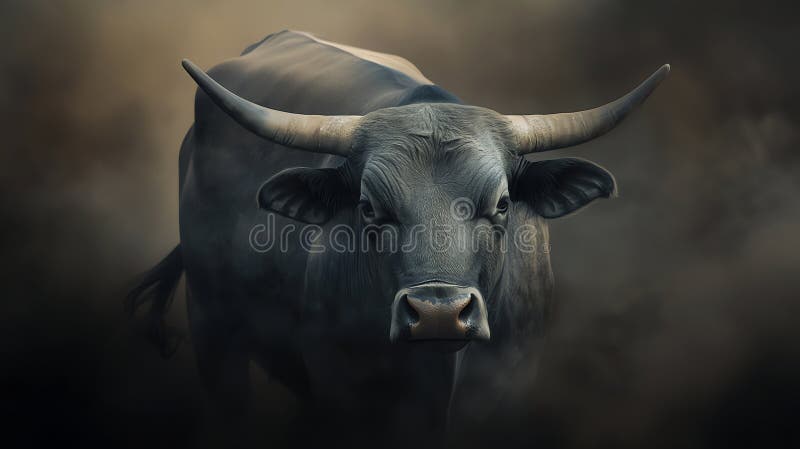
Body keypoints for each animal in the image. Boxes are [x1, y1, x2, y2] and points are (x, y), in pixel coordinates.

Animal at [127, 30, 668, 446]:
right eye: (369, 208)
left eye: (502, 204)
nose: (439, 313)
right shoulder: (344, 388)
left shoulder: (507, 387)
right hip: (213, 327)